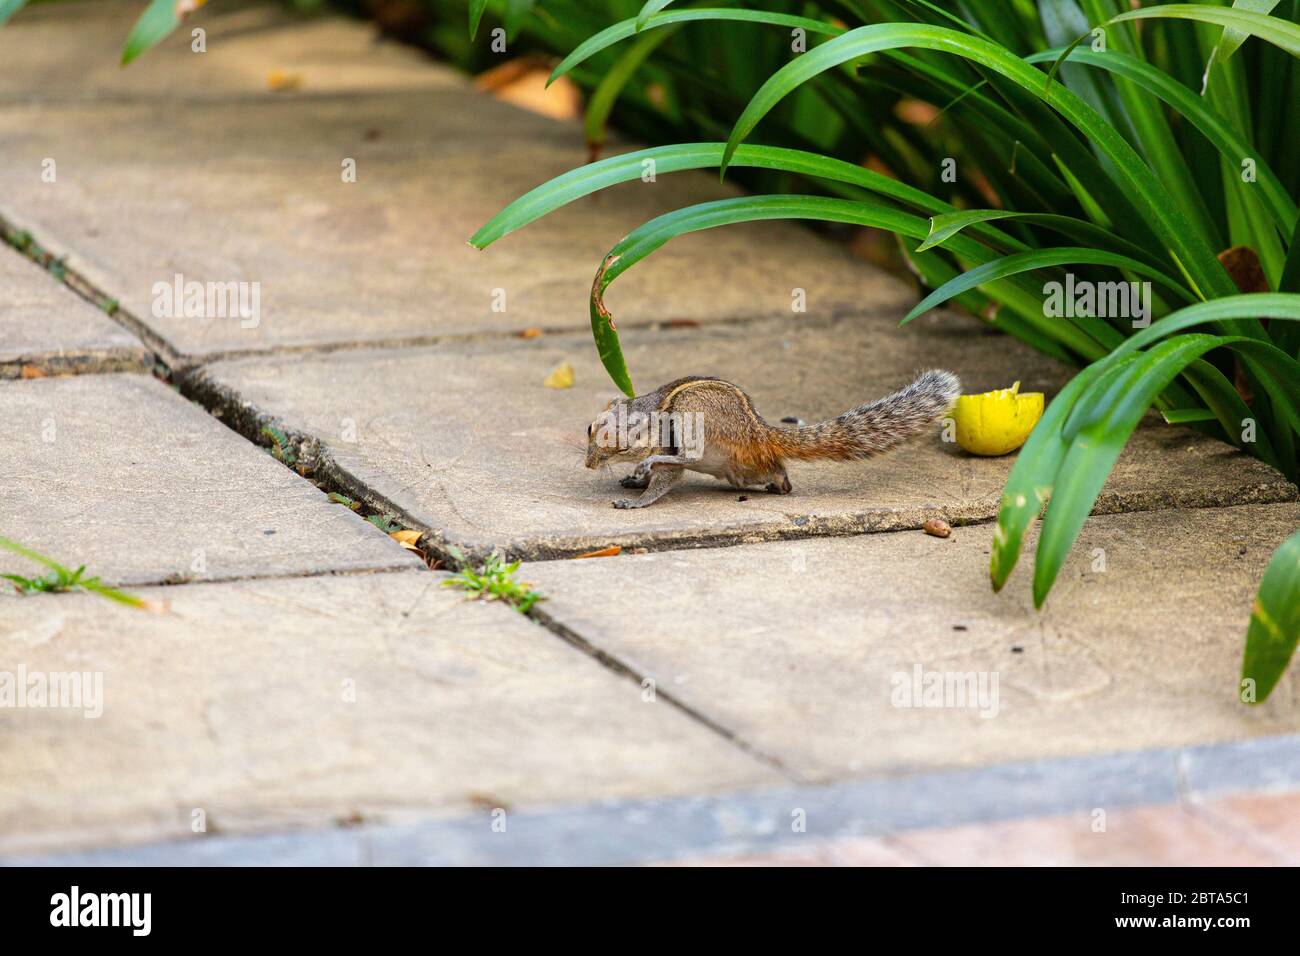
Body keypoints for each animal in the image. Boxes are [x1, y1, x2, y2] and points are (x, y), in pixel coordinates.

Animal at [585, 369, 961, 508]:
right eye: (590, 428)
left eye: (622, 444)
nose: (588, 464)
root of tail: (760, 433)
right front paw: (635, 480)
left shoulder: (667, 443)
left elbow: (667, 476)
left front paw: (638, 498)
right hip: (740, 469)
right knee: (778, 472)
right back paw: (779, 485)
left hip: (696, 413)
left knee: (689, 458)